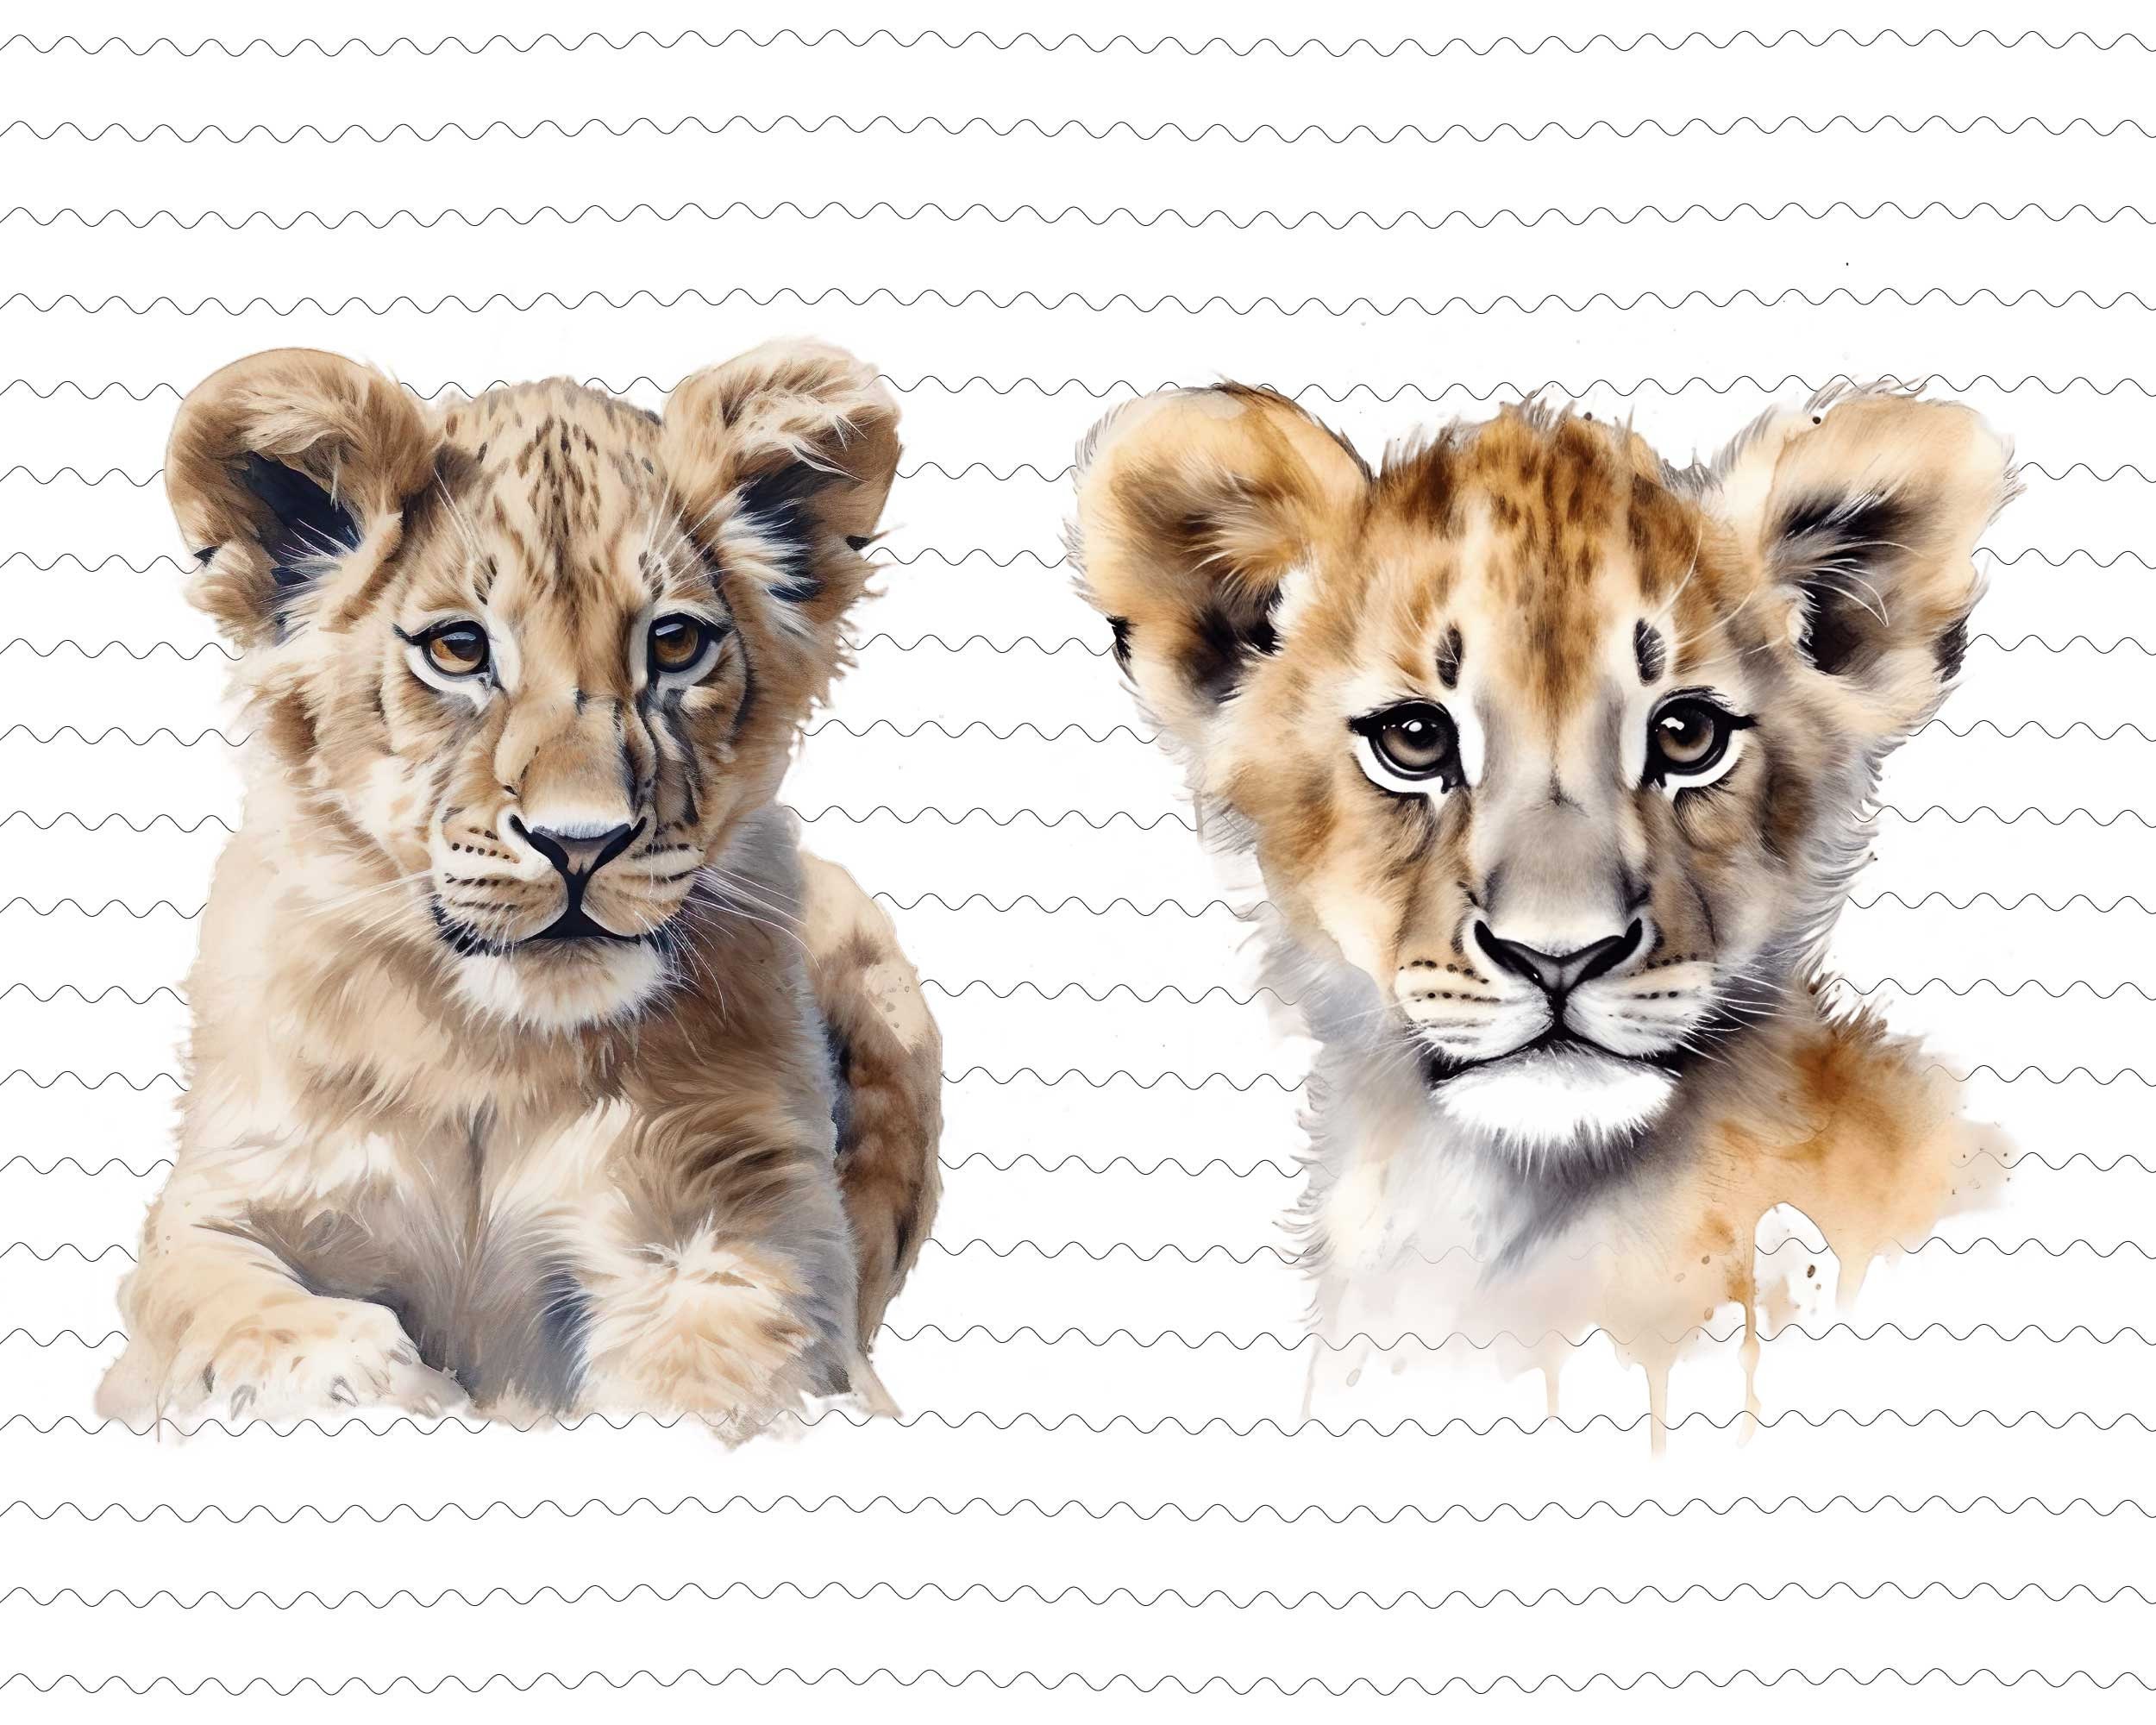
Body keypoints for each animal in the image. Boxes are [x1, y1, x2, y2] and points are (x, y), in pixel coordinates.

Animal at [95, 342, 941, 1430]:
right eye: (458, 649)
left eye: (675, 643)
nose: (581, 843)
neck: (489, 1054)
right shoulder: (222, 1202)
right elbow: (221, 1308)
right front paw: (381, 1385)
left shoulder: (745, 1217)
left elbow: (725, 1363)